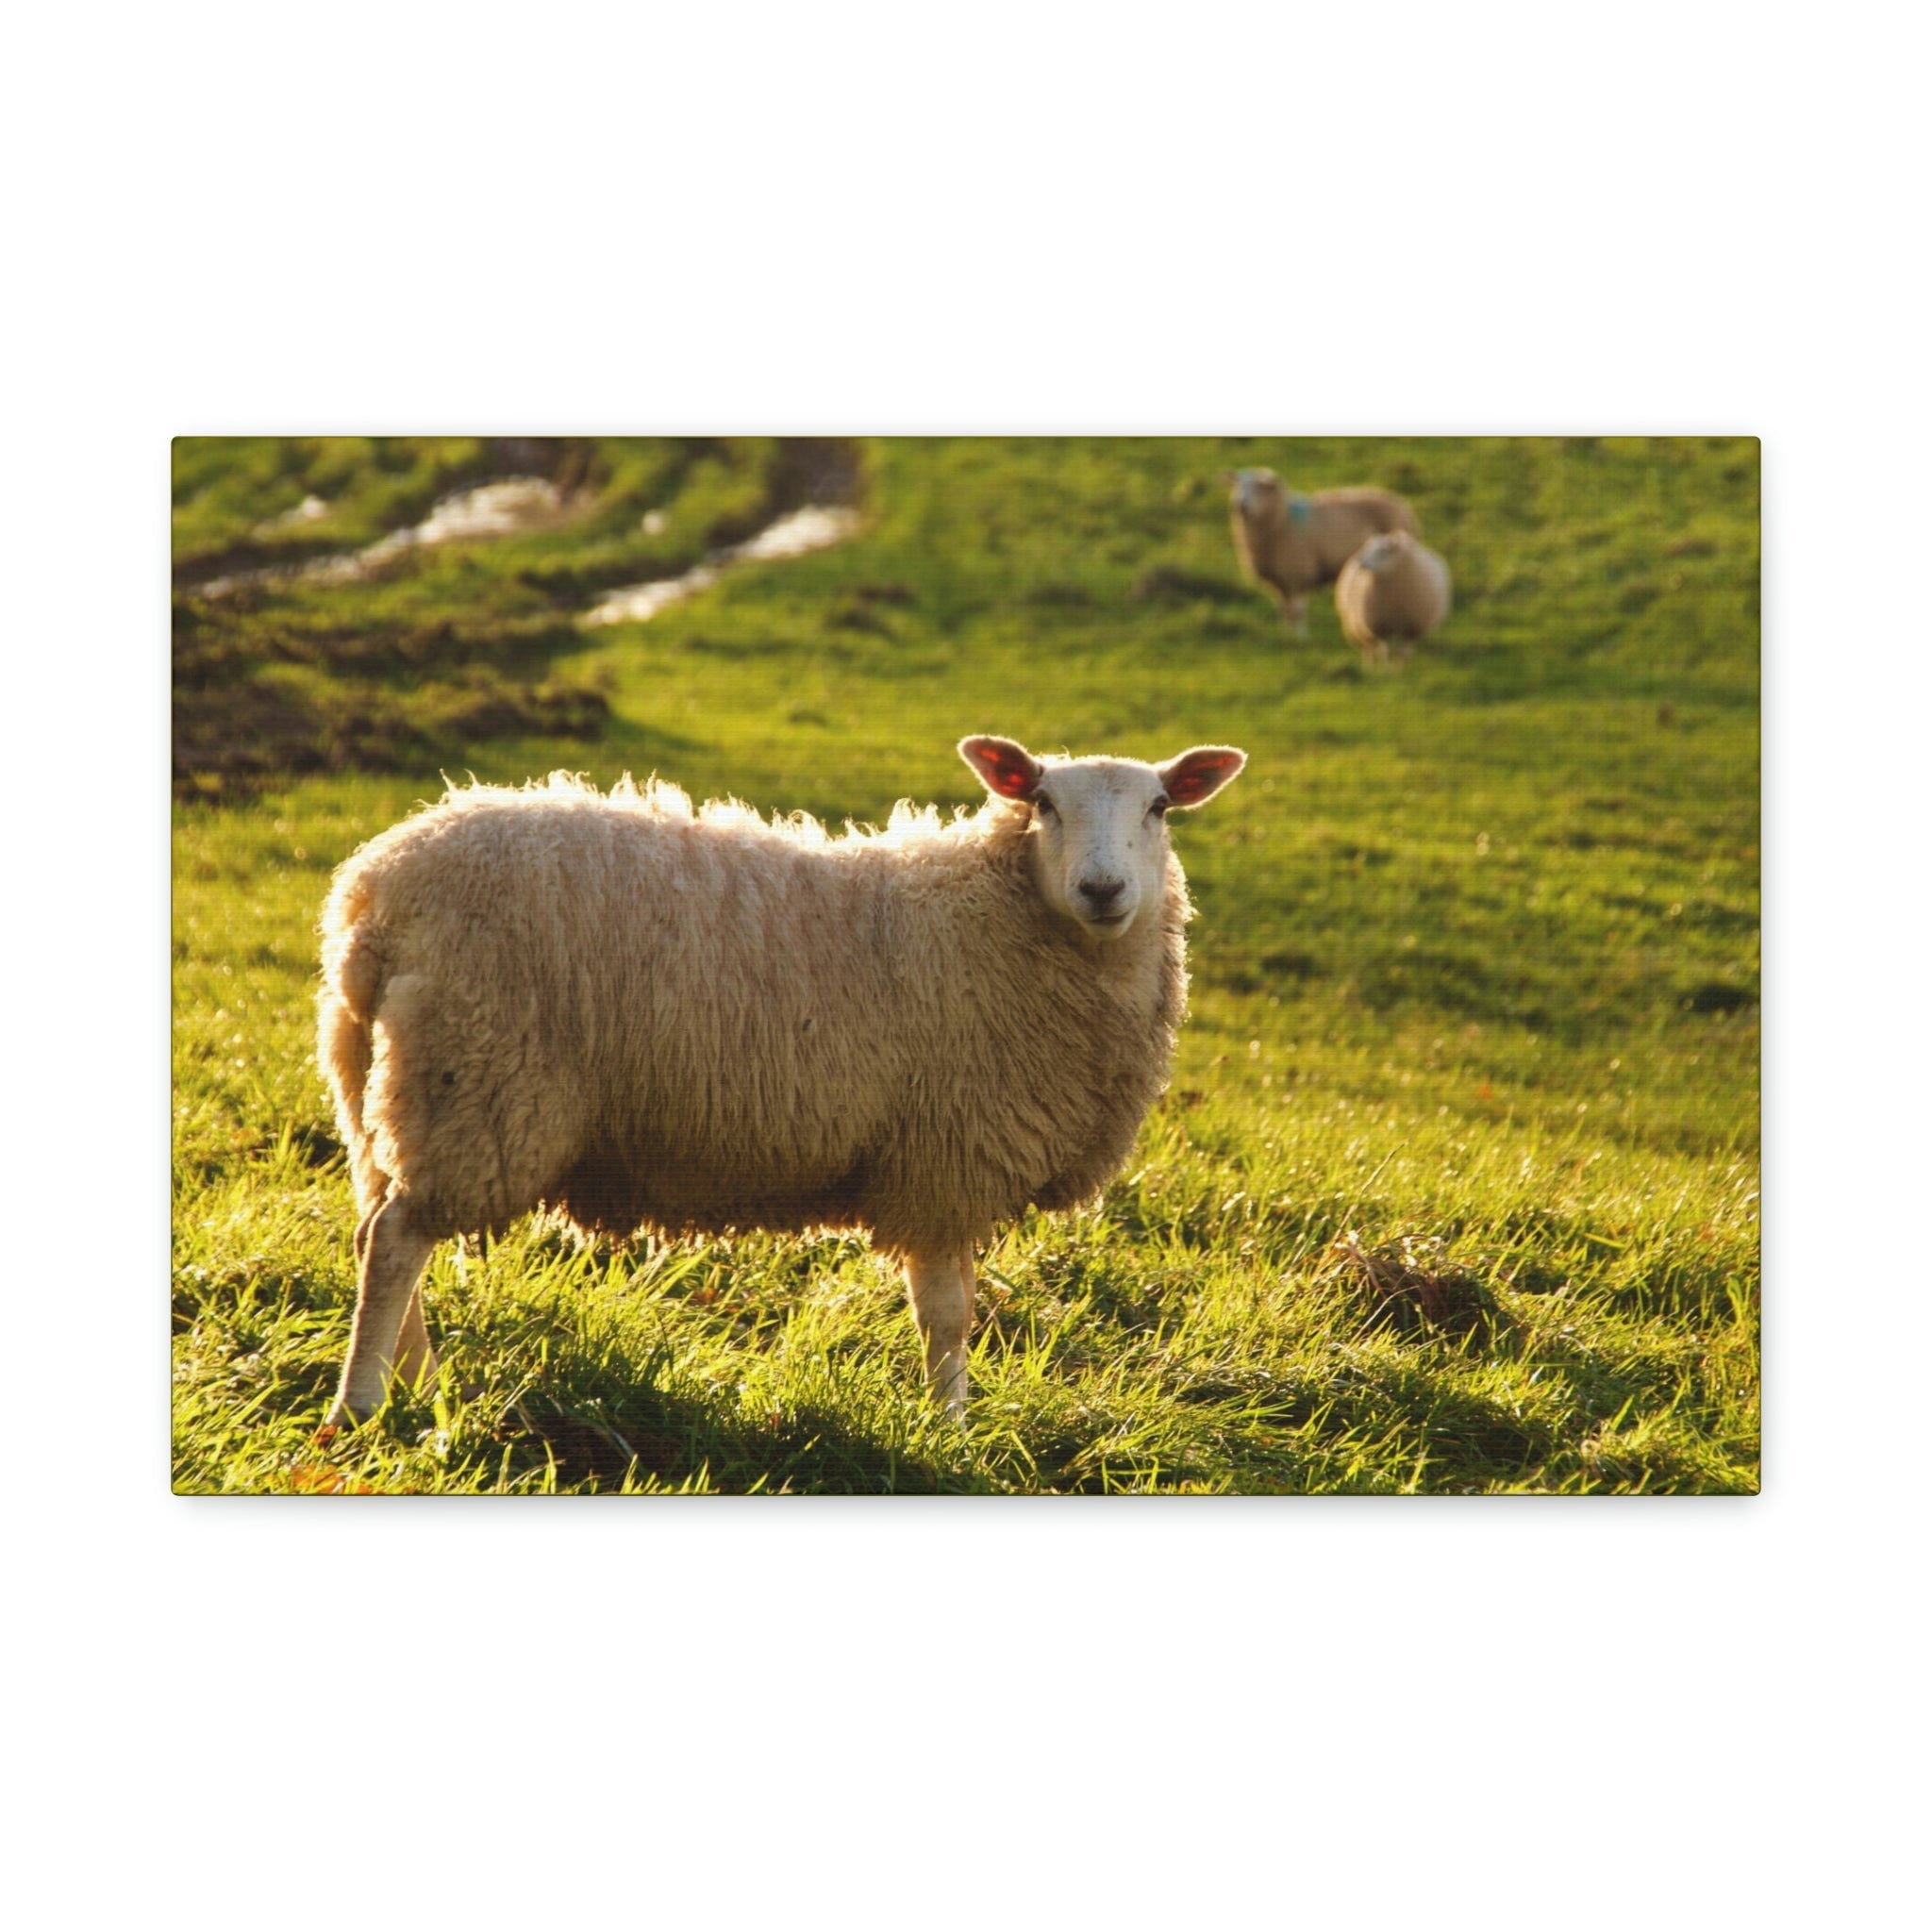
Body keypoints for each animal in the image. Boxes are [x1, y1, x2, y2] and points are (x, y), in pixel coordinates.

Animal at [316, 734, 1247, 1428]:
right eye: (1044, 803)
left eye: (1159, 808)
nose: (1103, 888)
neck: (999, 914)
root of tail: (373, 893)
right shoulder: (944, 1158)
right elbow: (947, 1312)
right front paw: (950, 1426)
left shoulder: (950, 1163)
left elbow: (960, 1304)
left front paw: (951, 1416)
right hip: (476, 1081)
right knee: (398, 1240)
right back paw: (360, 1407)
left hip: (382, 1087)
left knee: (375, 1230)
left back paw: (419, 1386)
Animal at [1224, 466, 1419, 636]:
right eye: (1237, 485)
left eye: (1259, 487)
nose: (1240, 506)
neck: (1281, 520)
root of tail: (1400, 502)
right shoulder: (1278, 580)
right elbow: (1284, 610)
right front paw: (1285, 635)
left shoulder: (1298, 574)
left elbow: (1297, 610)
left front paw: (1300, 638)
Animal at [1333, 529, 1453, 665]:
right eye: (1368, 548)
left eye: (1384, 551)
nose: (1360, 562)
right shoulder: (1381, 626)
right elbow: (1387, 649)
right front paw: (1387, 666)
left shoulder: (1412, 626)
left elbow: (1405, 648)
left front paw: (1403, 664)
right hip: (1357, 624)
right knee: (1369, 646)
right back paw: (1369, 665)